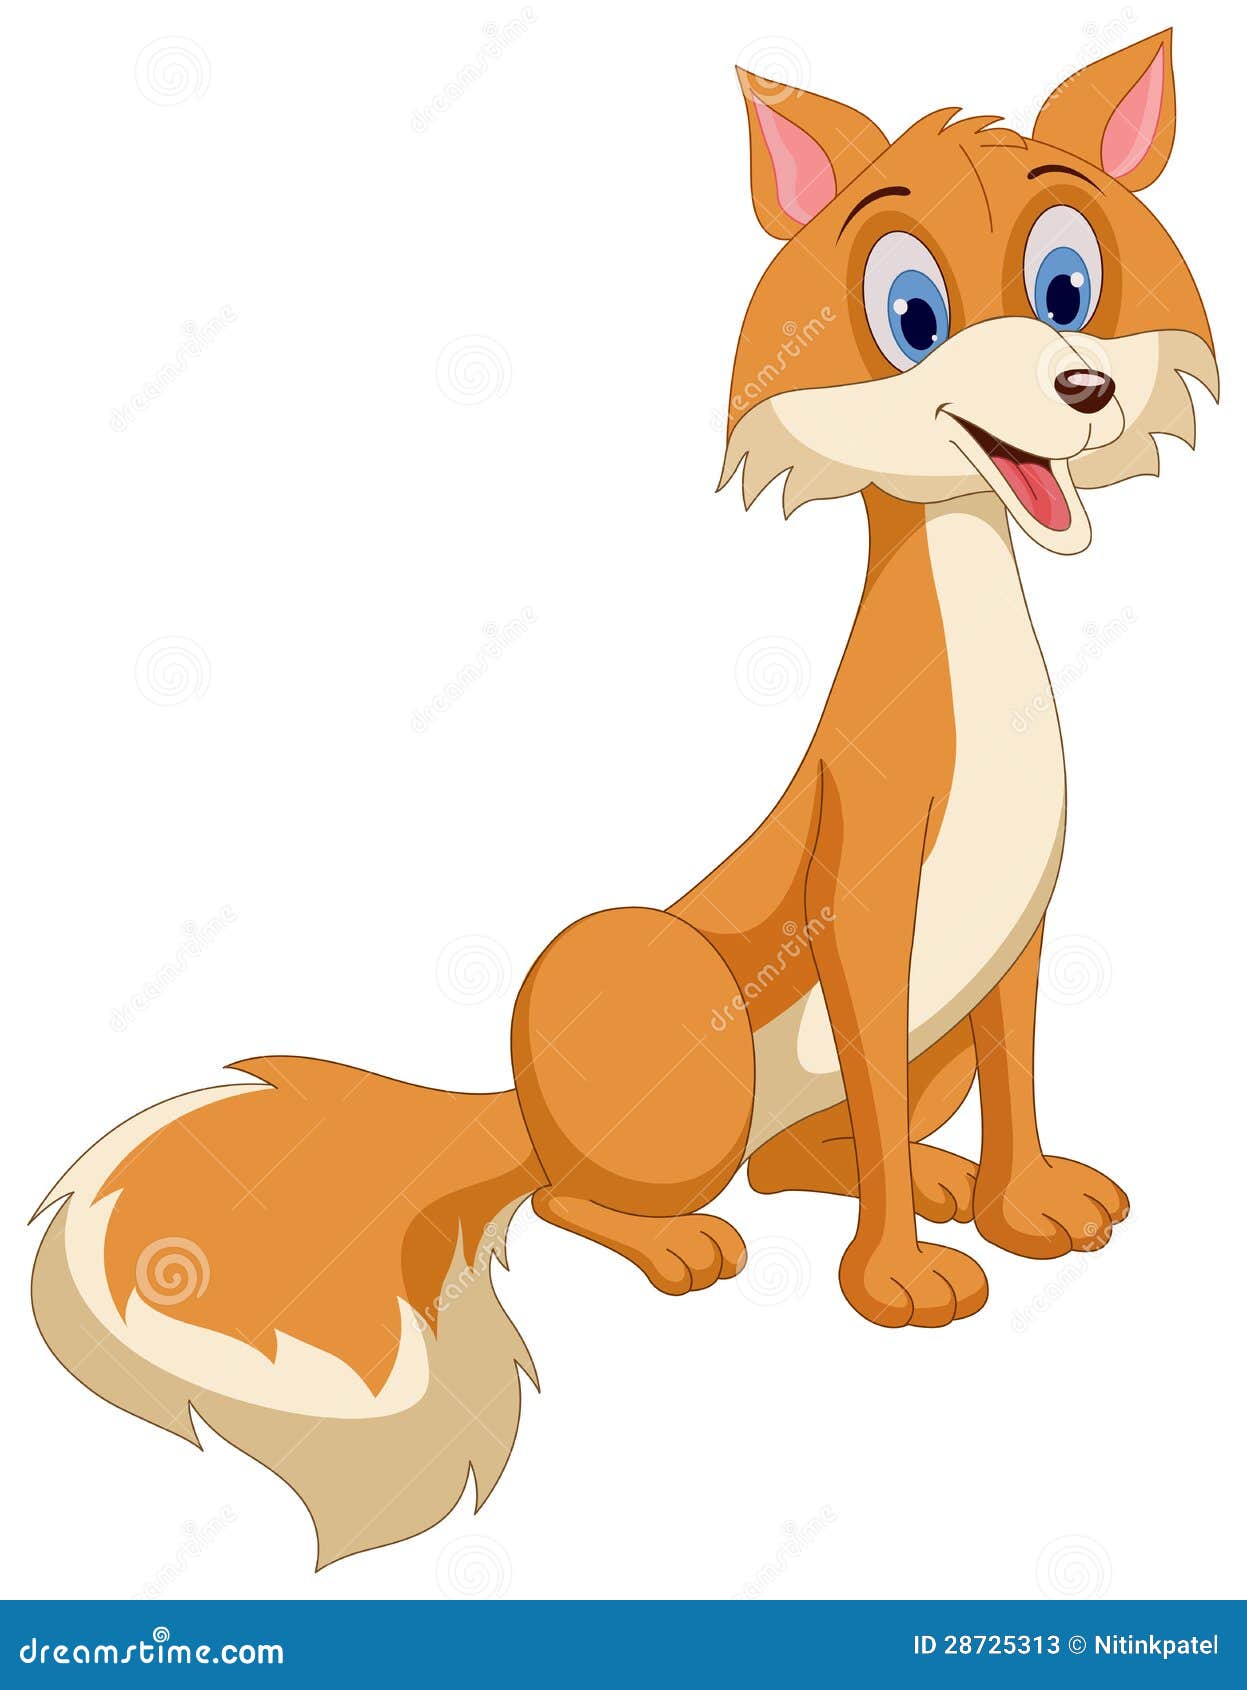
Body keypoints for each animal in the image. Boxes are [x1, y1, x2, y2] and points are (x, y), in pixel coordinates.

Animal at [32, 31, 1216, 1568]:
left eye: (1069, 286)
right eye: (910, 313)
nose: (1079, 392)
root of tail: (515, 1102)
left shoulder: (1014, 925)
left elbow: (1013, 1076)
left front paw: (1016, 1201)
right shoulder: (861, 895)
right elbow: (872, 1087)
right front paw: (895, 1275)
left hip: (869, 1045)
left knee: (798, 1151)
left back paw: (915, 1171)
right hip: (651, 977)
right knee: (581, 1187)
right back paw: (683, 1236)